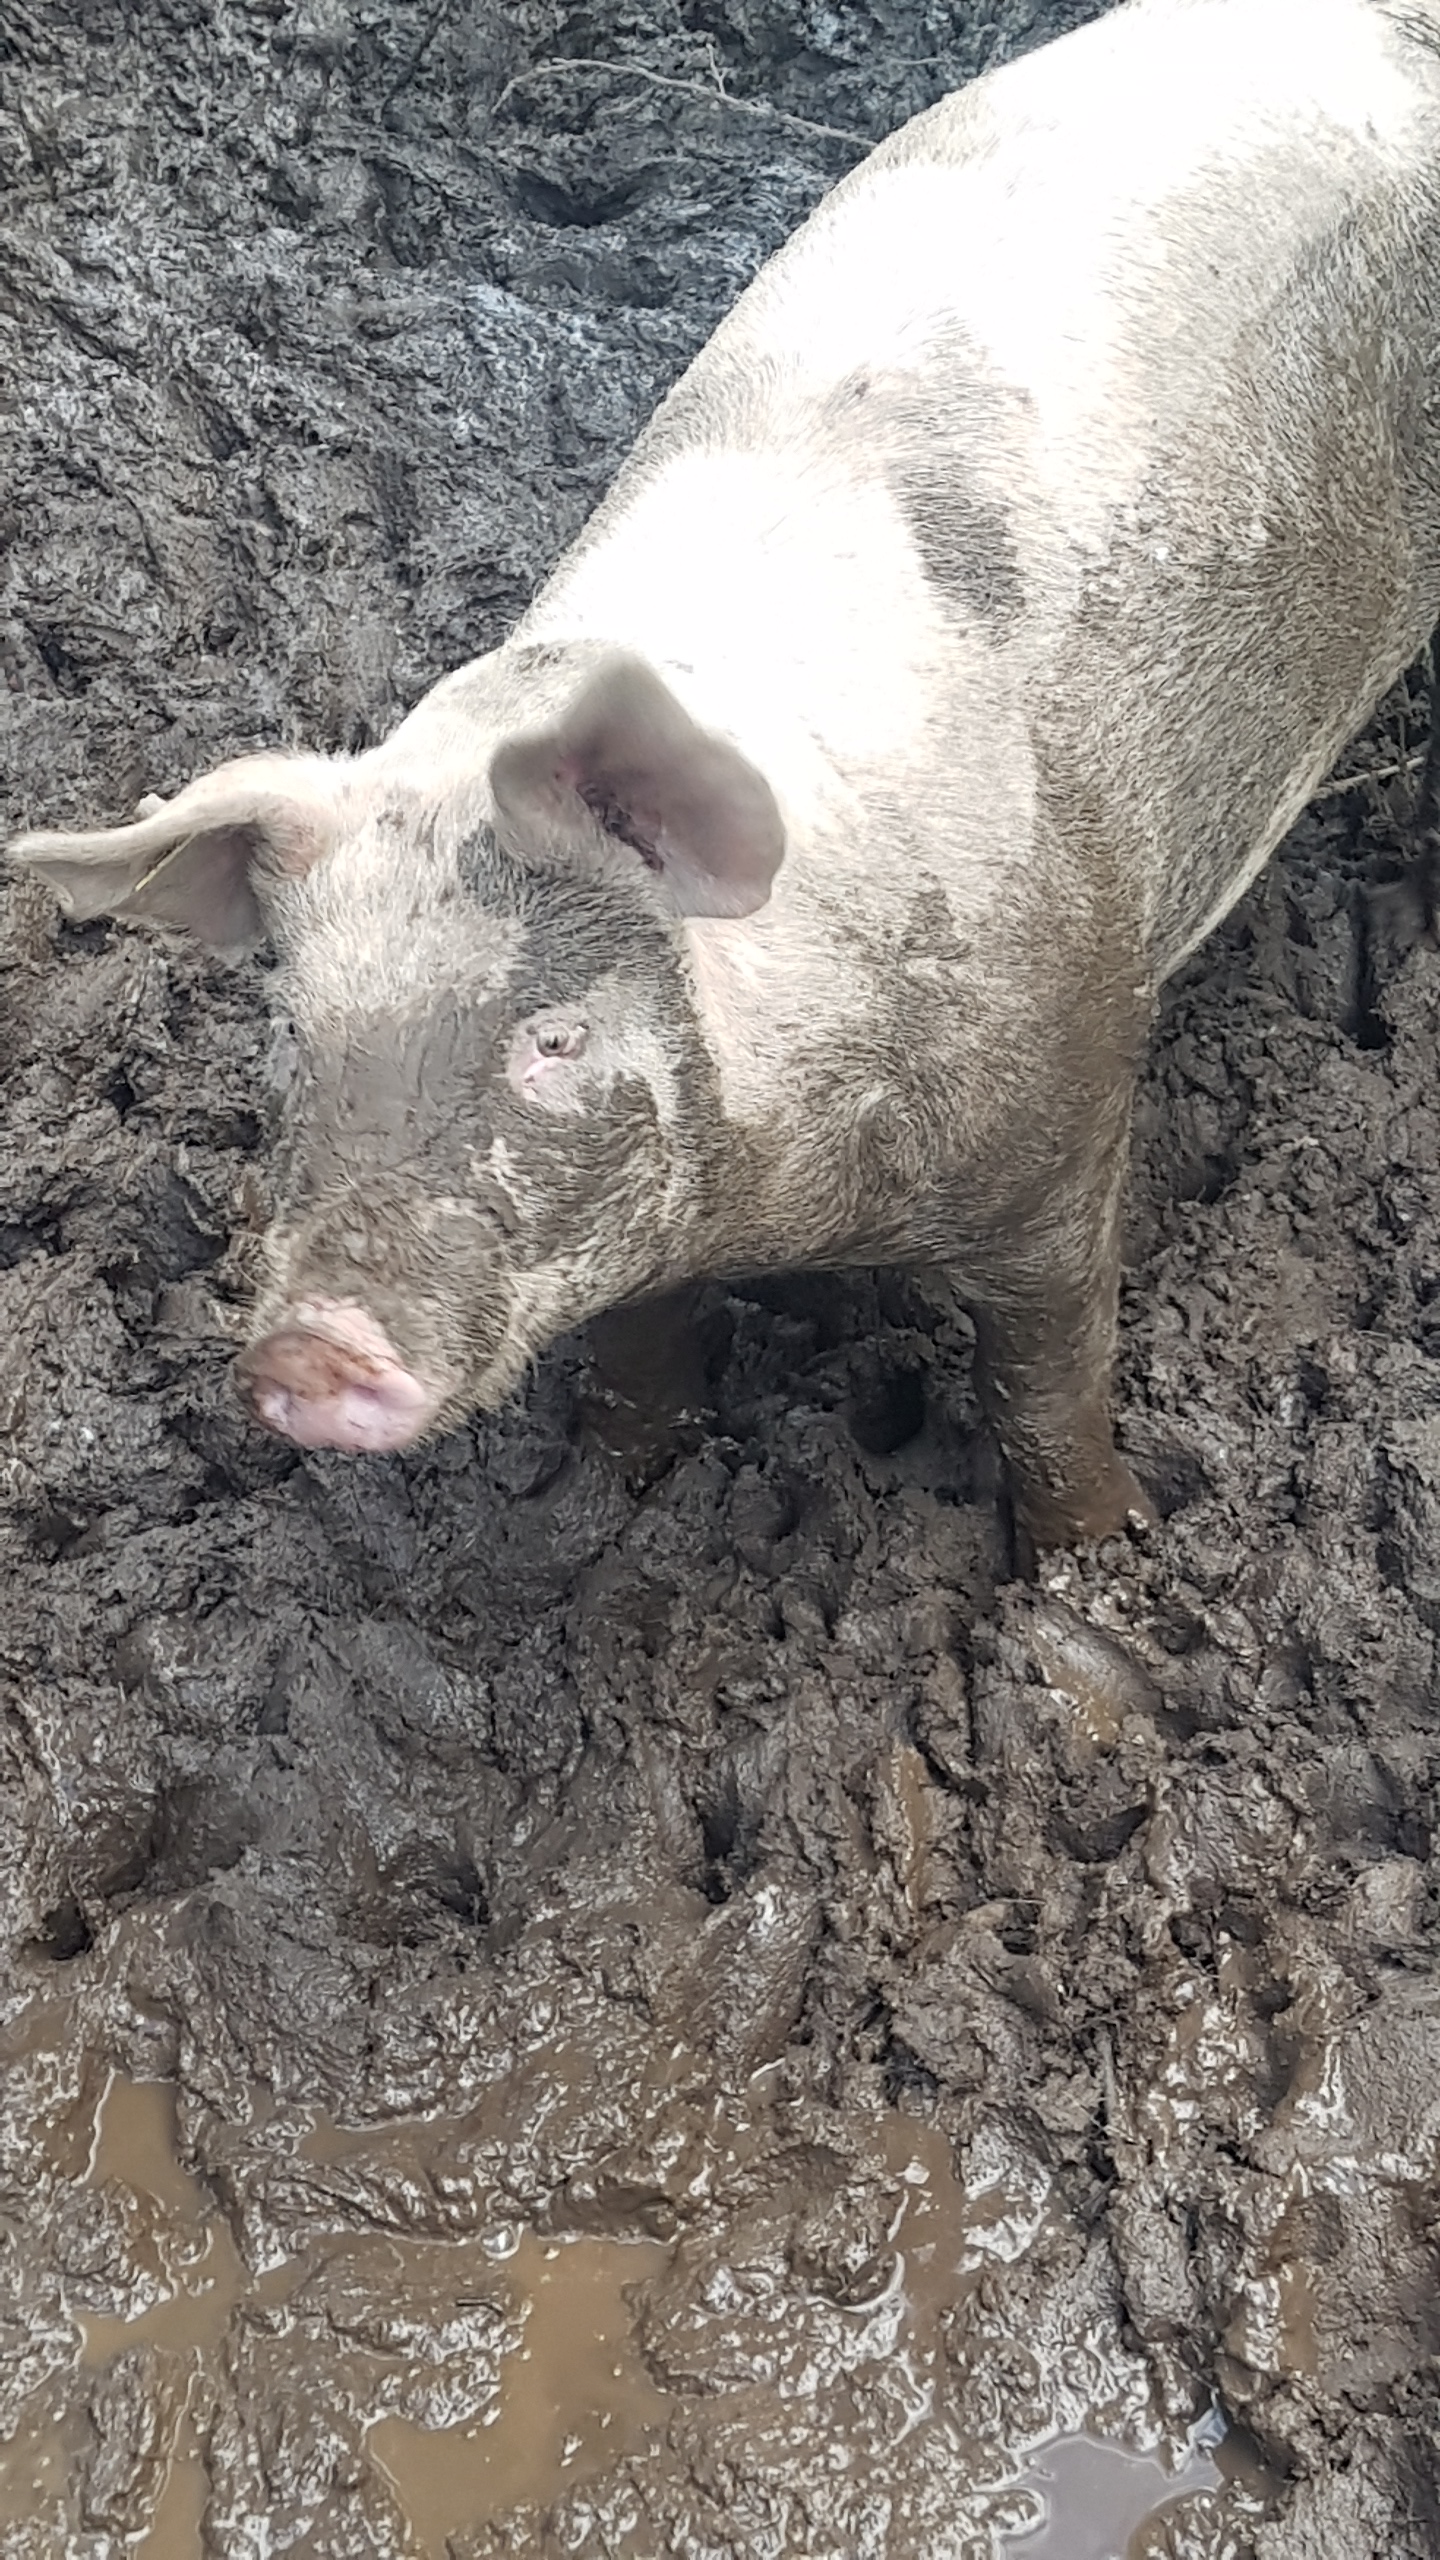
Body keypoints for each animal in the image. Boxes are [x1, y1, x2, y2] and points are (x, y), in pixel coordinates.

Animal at [10, 0, 1440, 1549]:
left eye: (555, 1039)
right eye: (290, 1033)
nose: (307, 1353)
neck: (785, 1197)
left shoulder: (1067, 1095)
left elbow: (1045, 1375)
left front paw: (1099, 1554)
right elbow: (641, 1352)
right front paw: (617, 1490)